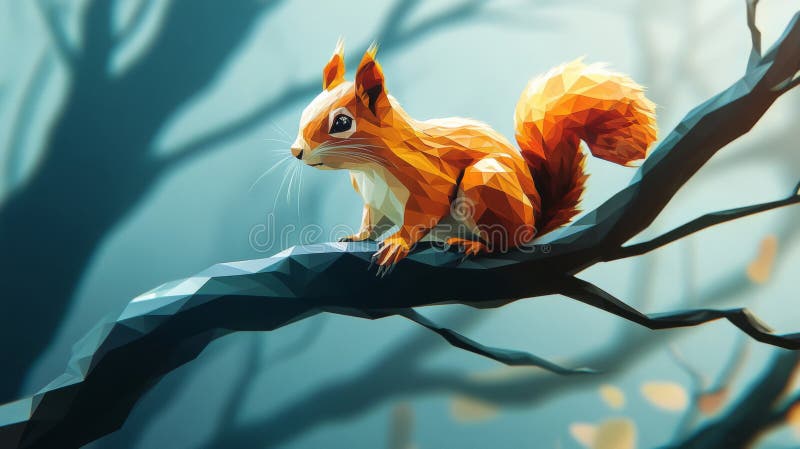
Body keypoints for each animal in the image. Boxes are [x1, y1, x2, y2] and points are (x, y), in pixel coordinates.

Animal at [290, 40, 657, 271]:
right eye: (306, 109)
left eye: (342, 122)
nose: (297, 151)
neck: (369, 168)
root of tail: (536, 216)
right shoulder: (374, 201)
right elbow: (371, 222)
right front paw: (358, 235)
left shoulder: (428, 183)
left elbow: (421, 216)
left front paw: (399, 243)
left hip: (487, 184)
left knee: (508, 241)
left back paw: (475, 245)